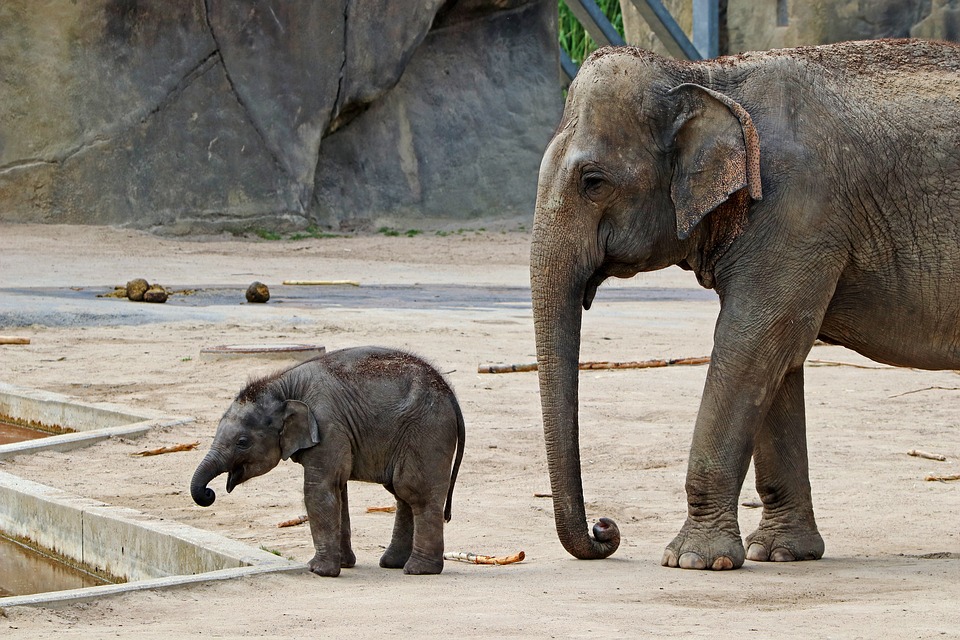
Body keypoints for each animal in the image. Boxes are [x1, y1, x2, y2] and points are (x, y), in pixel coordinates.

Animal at [190, 346, 465, 576]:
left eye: (242, 442)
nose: (209, 493)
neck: (283, 385)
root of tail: (451, 394)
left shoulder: (328, 425)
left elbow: (318, 489)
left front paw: (318, 571)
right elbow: (338, 488)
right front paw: (343, 564)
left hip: (426, 431)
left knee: (414, 491)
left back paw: (418, 570)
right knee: (401, 493)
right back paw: (393, 564)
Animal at [529, 39, 960, 571]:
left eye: (593, 181)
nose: (605, 528)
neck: (706, 77)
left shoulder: (798, 210)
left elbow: (752, 343)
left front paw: (692, 560)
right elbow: (779, 359)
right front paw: (779, 553)